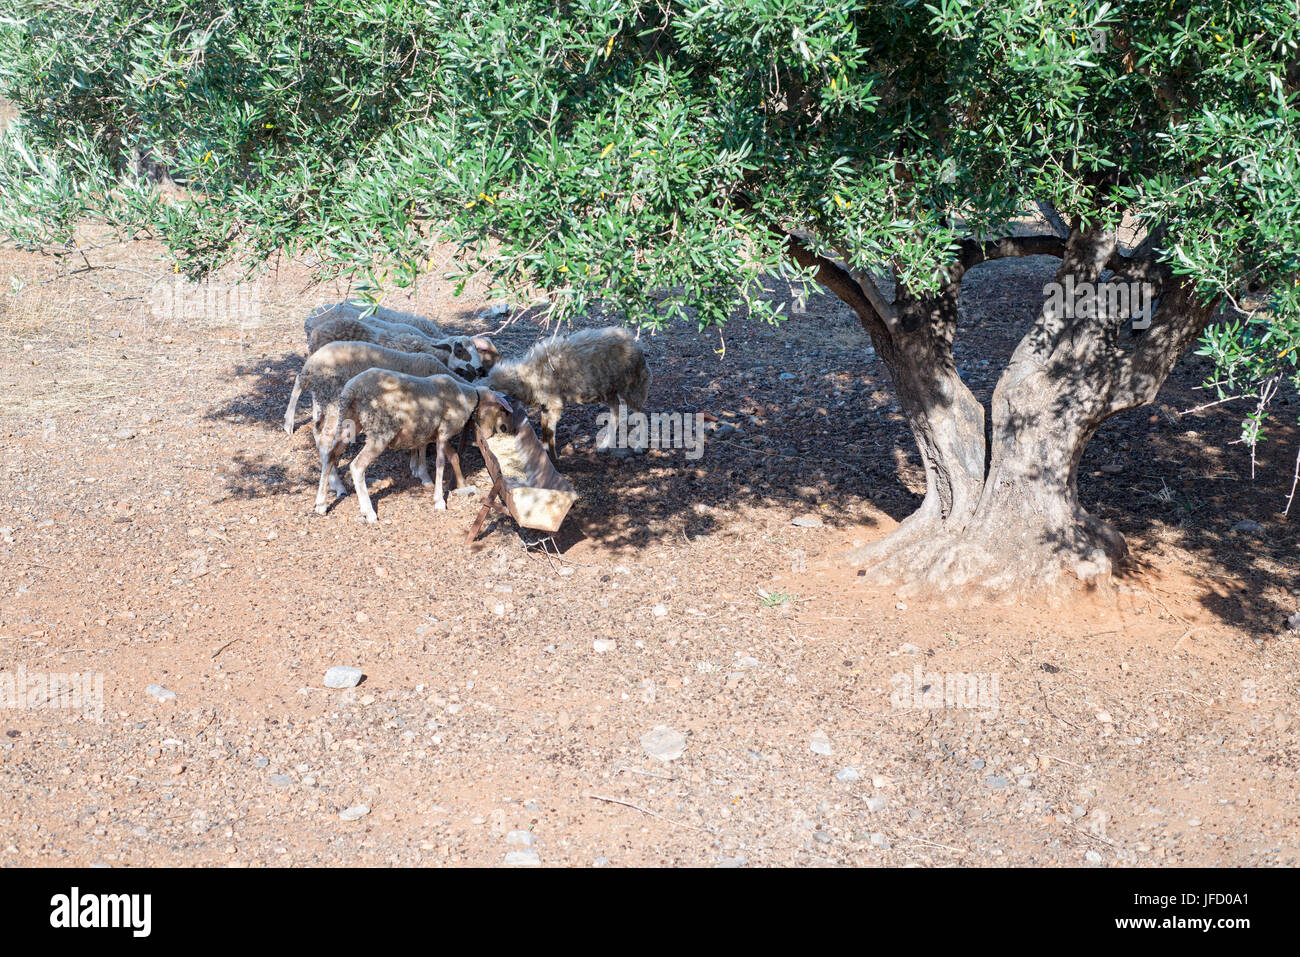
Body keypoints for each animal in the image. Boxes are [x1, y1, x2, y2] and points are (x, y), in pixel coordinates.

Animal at [284, 341, 464, 497]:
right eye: (459, 351)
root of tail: (310, 365)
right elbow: (422, 446)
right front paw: (424, 475)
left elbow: (418, 444)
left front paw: (414, 466)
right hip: (334, 403)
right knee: (325, 440)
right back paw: (337, 485)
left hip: (324, 400)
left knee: (318, 431)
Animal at [317, 371, 514, 522]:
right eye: (501, 410)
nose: (490, 435)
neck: (467, 397)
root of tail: (352, 389)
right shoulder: (444, 431)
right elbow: (440, 464)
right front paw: (439, 500)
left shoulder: (435, 433)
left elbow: (451, 456)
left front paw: (460, 482)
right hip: (380, 431)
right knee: (356, 466)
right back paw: (369, 512)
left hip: (348, 422)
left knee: (330, 456)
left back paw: (321, 504)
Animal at [487, 326, 650, 461]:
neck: (527, 377)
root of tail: (636, 344)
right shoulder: (546, 404)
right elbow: (544, 426)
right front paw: (545, 450)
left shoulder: (554, 403)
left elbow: (549, 430)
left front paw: (553, 458)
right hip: (609, 389)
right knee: (617, 412)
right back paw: (605, 445)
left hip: (632, 385)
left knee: (641, 415)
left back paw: (639, 447)